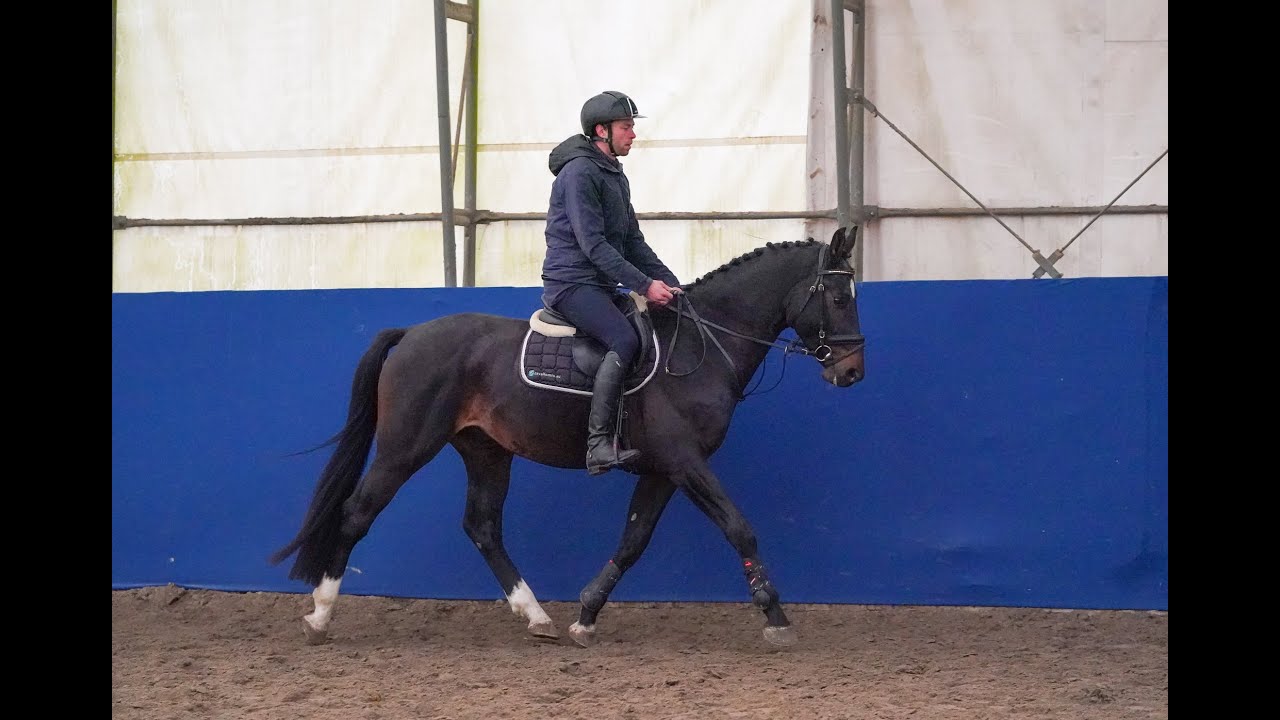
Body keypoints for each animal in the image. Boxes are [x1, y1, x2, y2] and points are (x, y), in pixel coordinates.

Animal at [269, 226, 867, 648]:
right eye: (840, 298)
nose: (852, 371)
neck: (699, 347)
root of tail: (412, 333)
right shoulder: (685, 461)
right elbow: (739, 528)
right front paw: (776, 617)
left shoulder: (662, 470)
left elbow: (632, 541)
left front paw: (586, 615)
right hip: (406, 447)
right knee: (357, 512)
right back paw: (320, 616)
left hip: (486, 452)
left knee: (482, 527)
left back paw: (537, 617)